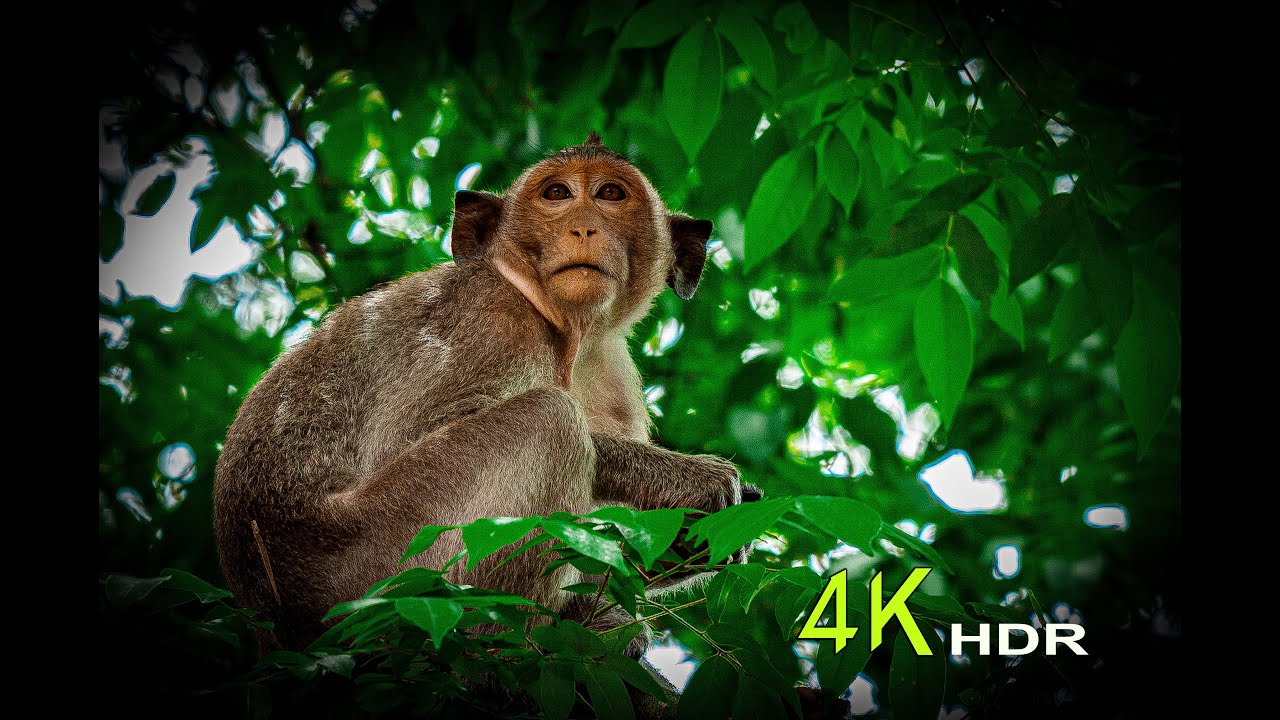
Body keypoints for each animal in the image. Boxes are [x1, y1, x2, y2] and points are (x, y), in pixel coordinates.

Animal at [213, 132, 748, 710]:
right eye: (557, 194)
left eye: (611, 194)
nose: (584, 226)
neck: (565, 329)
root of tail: (276, 625)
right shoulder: (486, 318)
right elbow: (413, 434)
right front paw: (691, 481)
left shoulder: (614, 375)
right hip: (379, 572)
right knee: (549, 421)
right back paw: (503, 652)